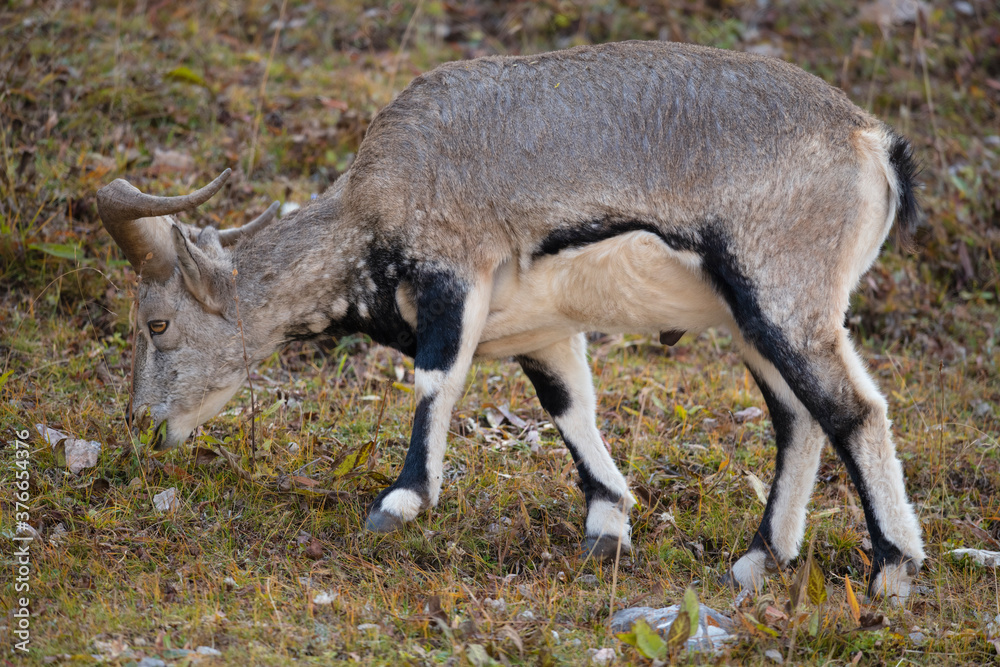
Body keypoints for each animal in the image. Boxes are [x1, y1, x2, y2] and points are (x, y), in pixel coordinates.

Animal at [97, 40, 924, 601]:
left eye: (158, 324)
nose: (142, 422)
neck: (374, 204)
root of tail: (871, 142)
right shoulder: (543, 330)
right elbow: (569, 407)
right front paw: (607, 525)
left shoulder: (454, 272)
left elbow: (435, 381)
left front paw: (399, 502)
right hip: (748, 322)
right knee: (797, 416)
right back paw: (758, 559)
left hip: (781, 294)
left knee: (853, 409)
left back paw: (891, 570)